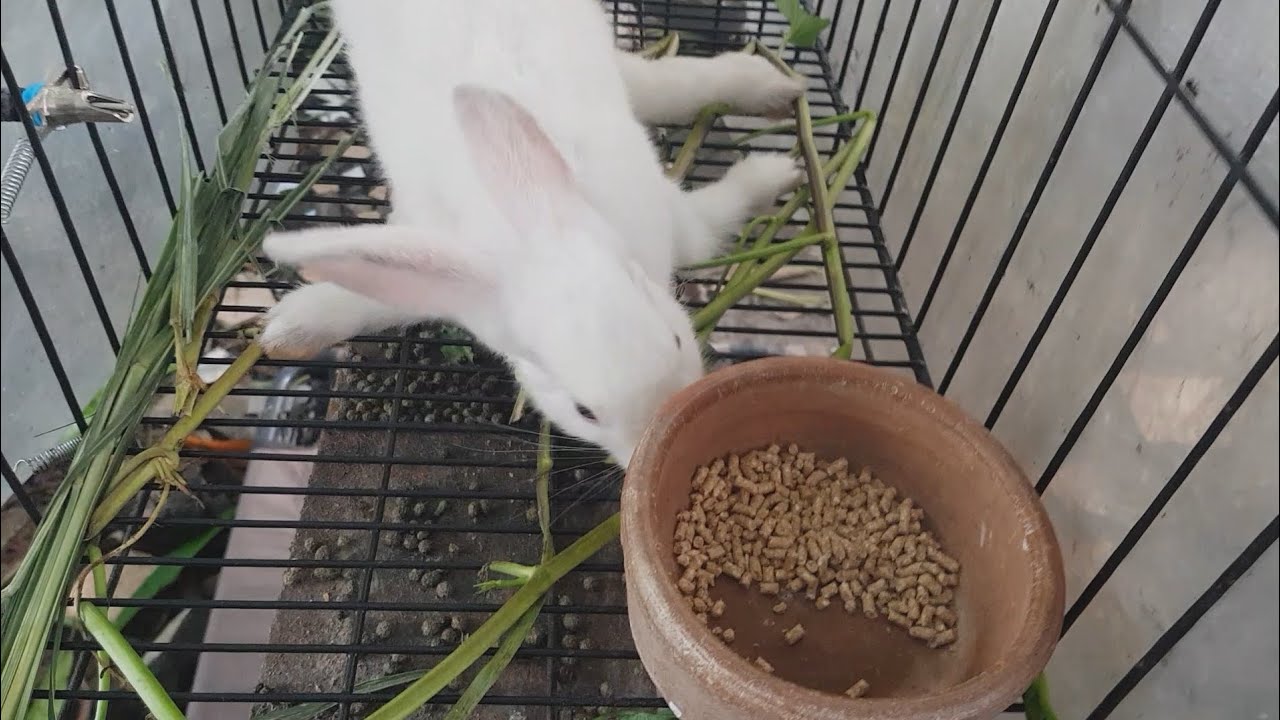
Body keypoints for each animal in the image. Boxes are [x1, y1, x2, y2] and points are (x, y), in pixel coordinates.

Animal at [261, 0, 807, 466]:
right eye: (583, 411)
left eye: (676, 339)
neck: (526, 225)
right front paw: (287, 328)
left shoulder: (673, 220)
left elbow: (713, 223)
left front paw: (771, 176)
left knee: (657, 82)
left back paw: (770, 90)